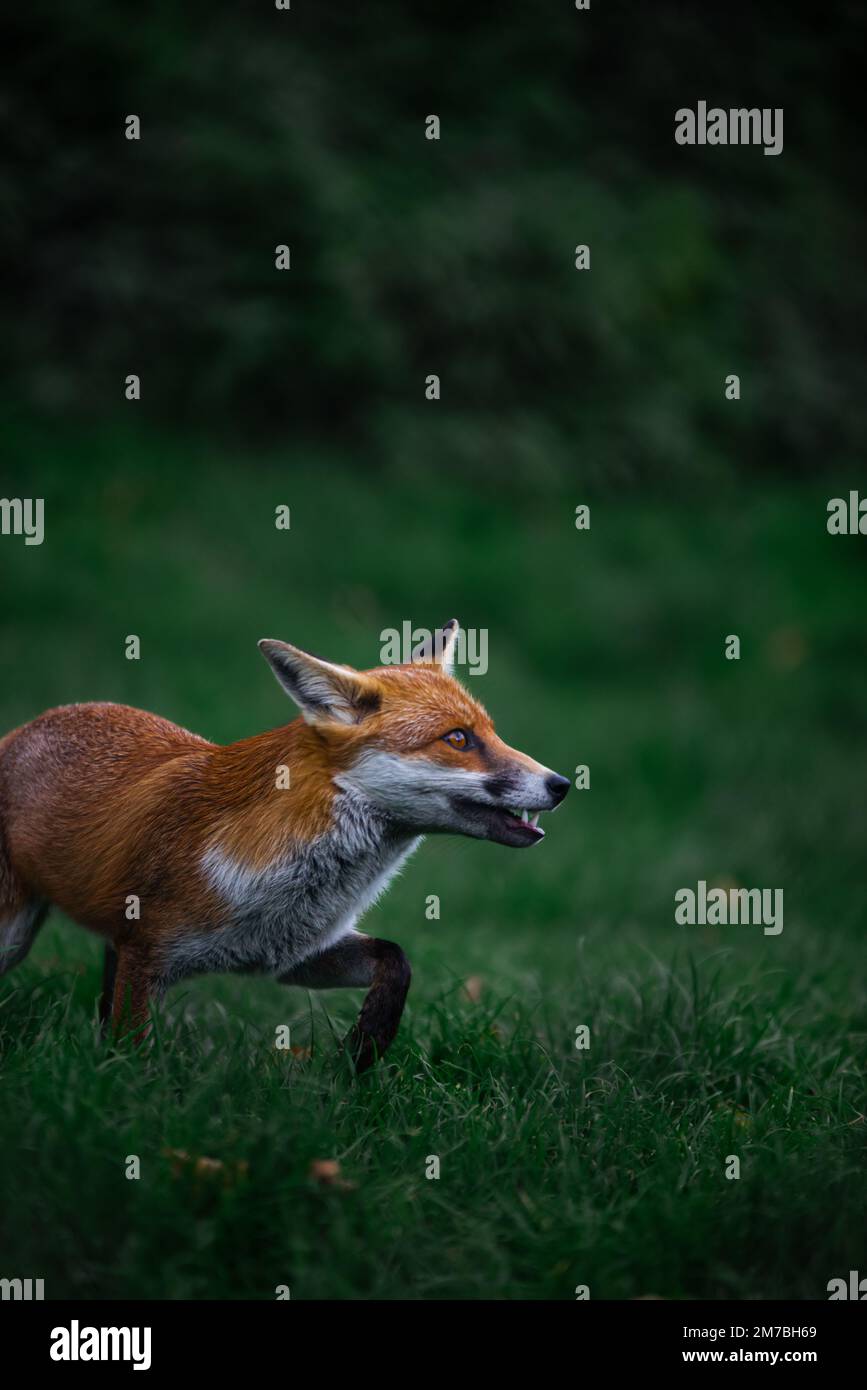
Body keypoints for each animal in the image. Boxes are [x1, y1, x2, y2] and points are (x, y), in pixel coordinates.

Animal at [0, 620, 569, 1071]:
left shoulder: (291, 953)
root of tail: (25, 729)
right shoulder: (146, 954)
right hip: (15, 935)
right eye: (457, 739)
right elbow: (131, 1051)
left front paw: (358, 1058)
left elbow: (397, 963)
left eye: (491, 733)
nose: (562, 784)